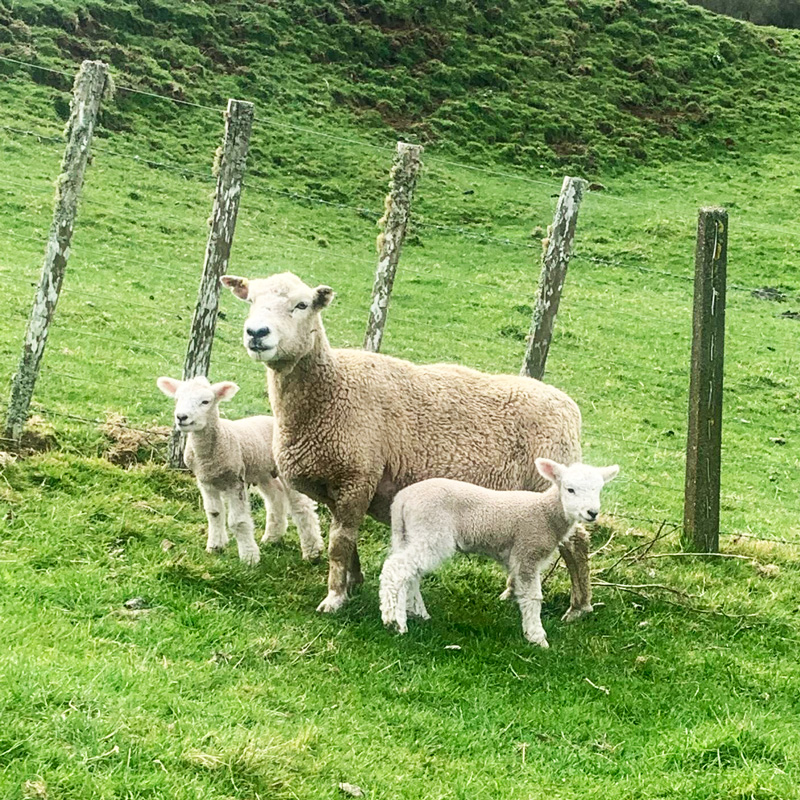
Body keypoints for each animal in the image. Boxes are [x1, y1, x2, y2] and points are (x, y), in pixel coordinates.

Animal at [156, 375, 324, 564]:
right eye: (177, 399)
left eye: (205, 401)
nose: (181, 417)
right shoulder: (205, 481)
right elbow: (214, 514)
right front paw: (215, 547)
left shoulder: (235, 480)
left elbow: (238, 521)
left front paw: (249, 558)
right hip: (263, 471)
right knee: (275, 499)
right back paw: (272, 538)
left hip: (285, 469)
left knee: (302, 507)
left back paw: (312, 551)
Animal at [221, 271, 588, 618]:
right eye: (250, 300)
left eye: (302, 305)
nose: (257, 333)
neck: (333, 386)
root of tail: (569, 407)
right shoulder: (338, 487)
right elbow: (349, 542)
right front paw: (353, 583)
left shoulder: (357, 477)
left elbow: (339, 544)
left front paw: (335, 598)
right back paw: (513, 592)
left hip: (554, 486)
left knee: (578, 542)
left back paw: (579, 608)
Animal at [379, 459, 618, 646]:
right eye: (570, 489)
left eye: (598, 490)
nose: (592, 513)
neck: (545, 513)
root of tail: (402, 500)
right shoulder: (527, 552)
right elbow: (533, 597)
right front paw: (537, 637)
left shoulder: (520, 556)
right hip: (432, 531)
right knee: (396, 570)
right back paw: (395, 621)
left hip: (407, 533)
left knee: (409, 573)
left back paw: (416, 613)